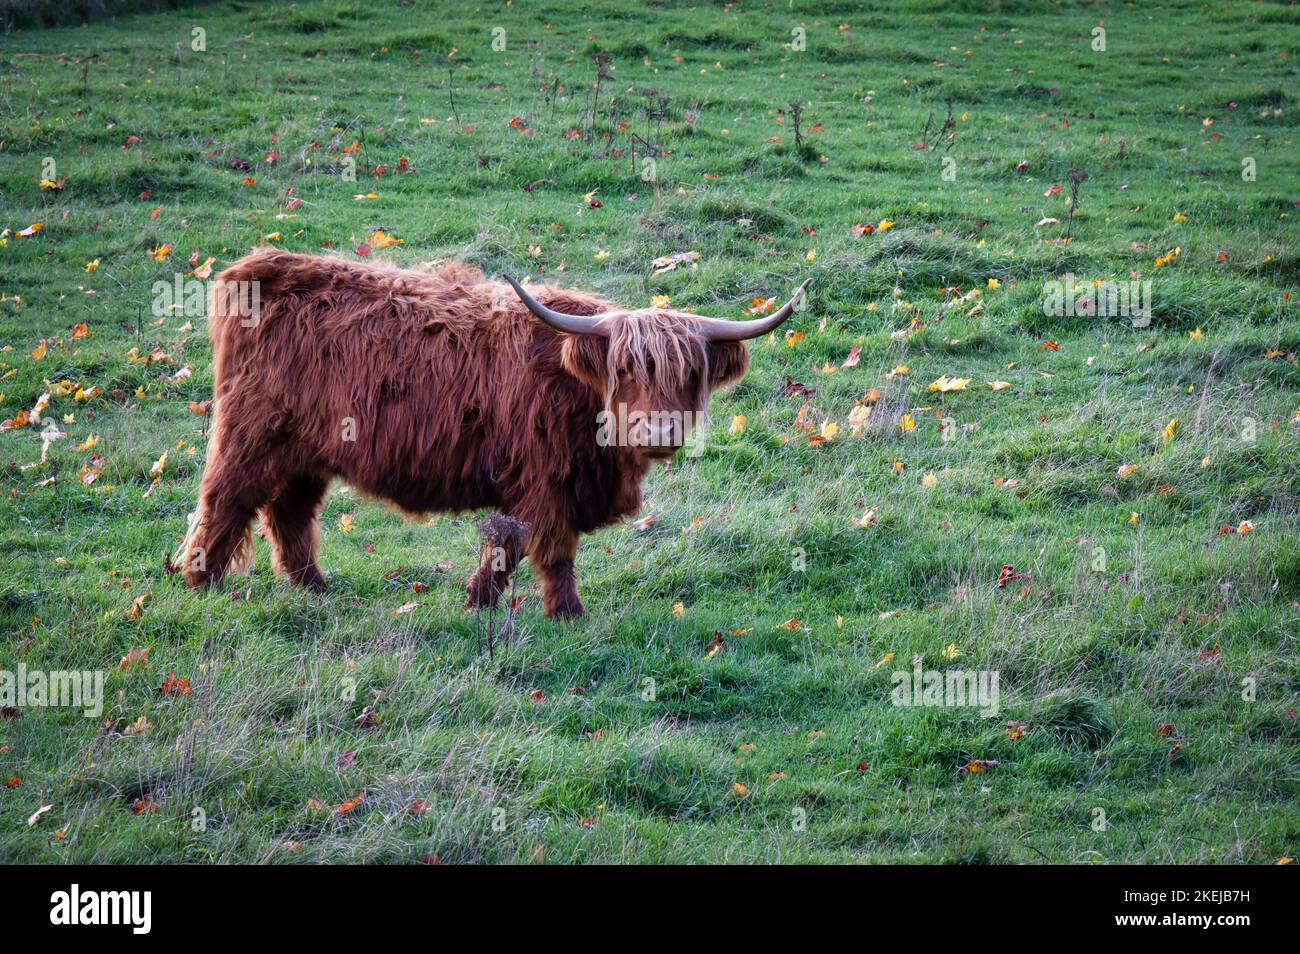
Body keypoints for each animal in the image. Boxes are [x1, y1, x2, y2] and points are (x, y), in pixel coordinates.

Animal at [178, 249, 809, 617]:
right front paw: (567, 613)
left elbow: (511, 543)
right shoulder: (545, 482)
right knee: (226, 501)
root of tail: (257, 268)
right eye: (626, 370)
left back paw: (317, 589)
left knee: (289, 512)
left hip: (307, 450)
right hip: (251, 433)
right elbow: (549, 549)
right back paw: (200, 581)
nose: (658, 430)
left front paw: (477, 599)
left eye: (690, 373)